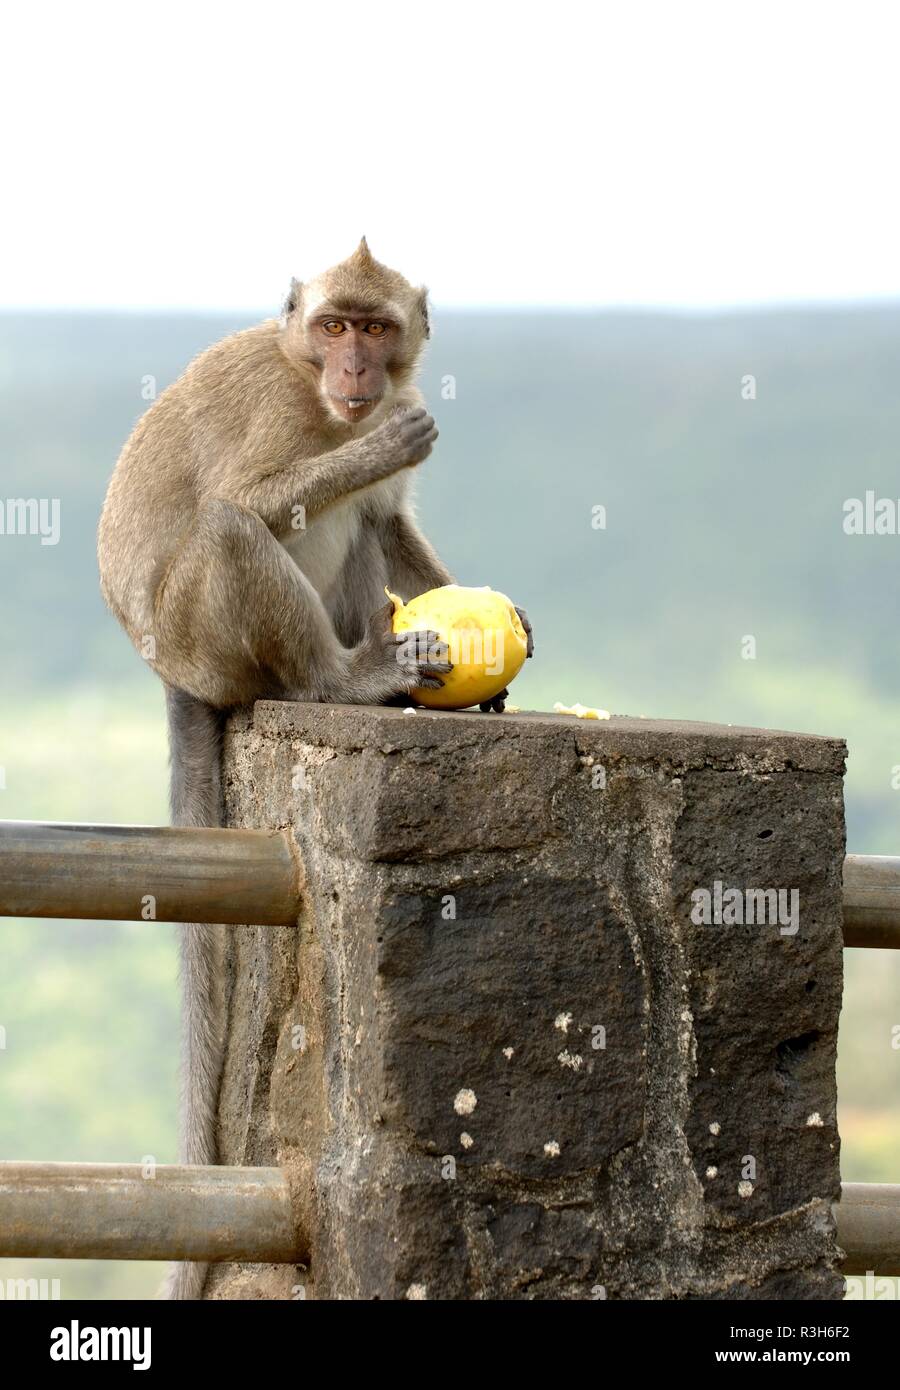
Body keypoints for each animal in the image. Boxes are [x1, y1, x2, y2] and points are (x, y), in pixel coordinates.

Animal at [97, 239, 533, 1299]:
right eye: (333, 328)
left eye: (375, 327)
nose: (357, 372)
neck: (321, 394)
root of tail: (168, 667)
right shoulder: (282, 411)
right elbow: (254, 496)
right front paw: (380, 448)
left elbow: (393, 524)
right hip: (207, 633)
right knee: (230, 528)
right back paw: (345, 680)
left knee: (359, 530)